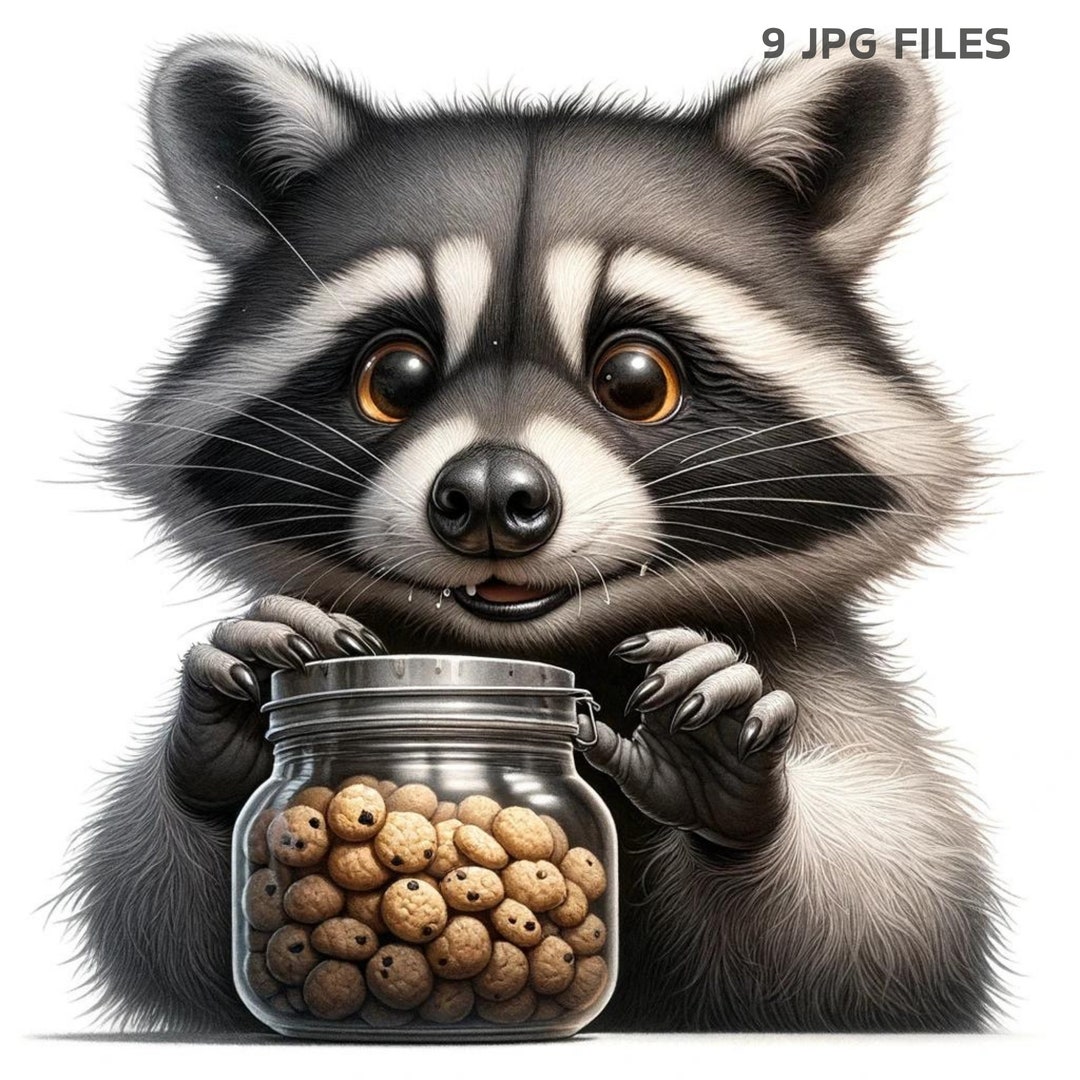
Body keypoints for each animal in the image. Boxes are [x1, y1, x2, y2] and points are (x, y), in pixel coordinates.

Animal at [62, 37, 1006, 1032]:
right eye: (393, 377)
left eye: (637, 379)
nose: (486, 494)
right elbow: (162, 941)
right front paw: (224, 739)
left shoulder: (816, 667)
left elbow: (894, 921)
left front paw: (725, 782)